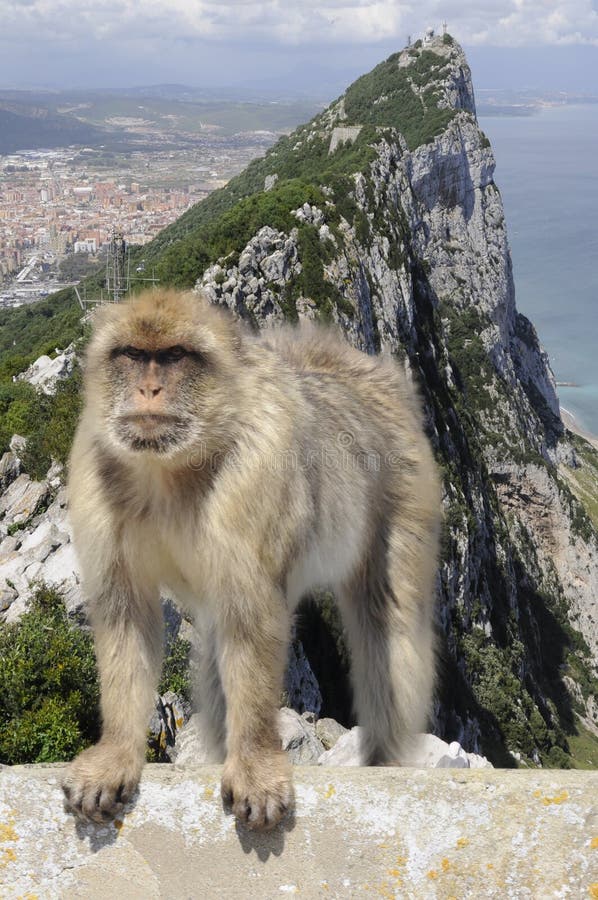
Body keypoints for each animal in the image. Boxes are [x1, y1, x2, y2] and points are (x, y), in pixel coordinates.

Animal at [62, 287, 440, 832]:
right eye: (131, 354)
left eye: (175, 356)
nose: (149, 389)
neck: (169, 472)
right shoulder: (96, 469)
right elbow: (126, 615)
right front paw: (115, 753)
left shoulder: (254, 475)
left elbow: (253, 617)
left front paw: (256, 765)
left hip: (407, 488)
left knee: (388, 623)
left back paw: (386, 757)